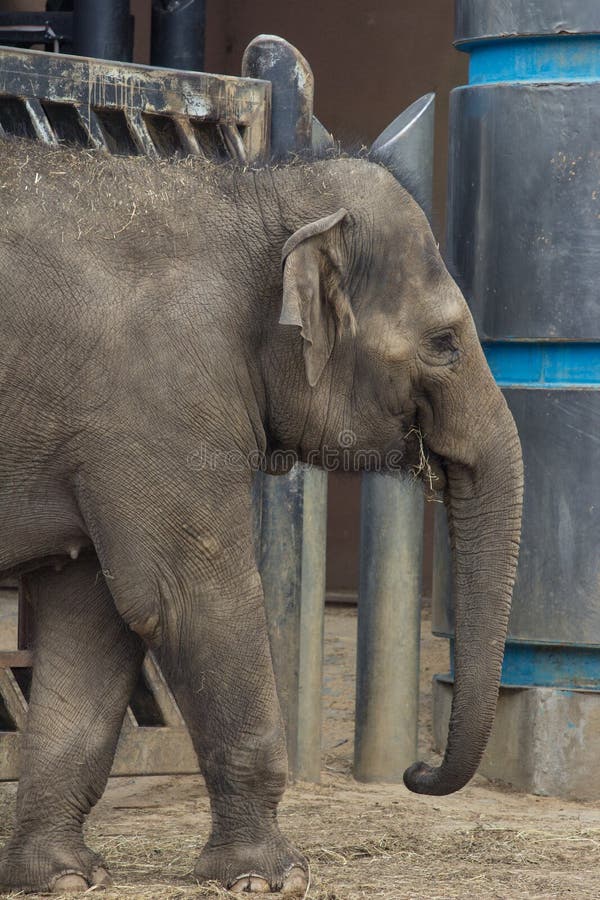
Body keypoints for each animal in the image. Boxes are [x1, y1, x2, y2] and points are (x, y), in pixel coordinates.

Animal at [0, 133, 523, 895]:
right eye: (445, 343)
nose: (416, 770)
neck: (254, 199)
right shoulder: (158, 401)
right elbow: (186, 599)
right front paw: (272, 877)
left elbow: (92, 616)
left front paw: (63, 878)